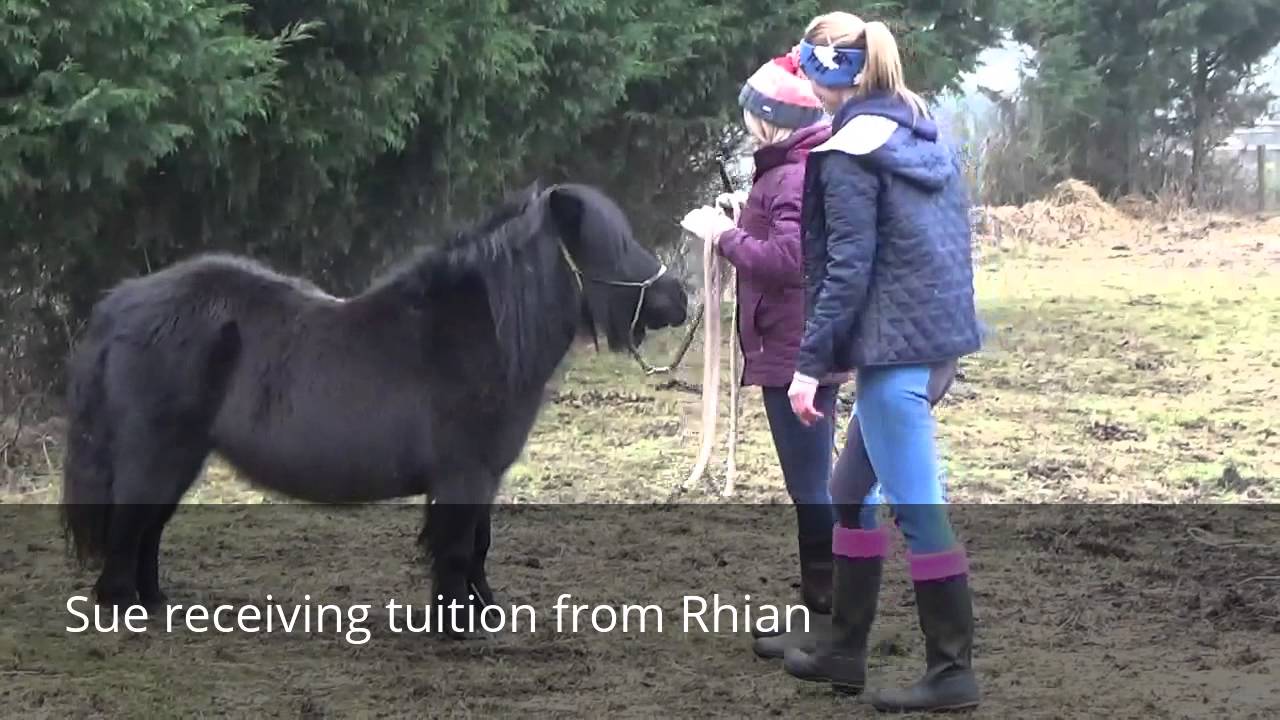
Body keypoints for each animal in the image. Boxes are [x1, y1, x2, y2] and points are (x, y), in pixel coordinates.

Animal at [59, 182, 688, 637]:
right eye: (614, 245)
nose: (678, 298)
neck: (475, 332)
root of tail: (122, 302)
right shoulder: (461, 476)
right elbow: (456, 549)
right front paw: (455, 626)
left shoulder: (482, 476)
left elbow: (479, 547)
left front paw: (483, 614)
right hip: (156, 453)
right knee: (130, 530)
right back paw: (126, 610)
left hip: (180, 458)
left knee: (147, 530)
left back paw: (156, 605)